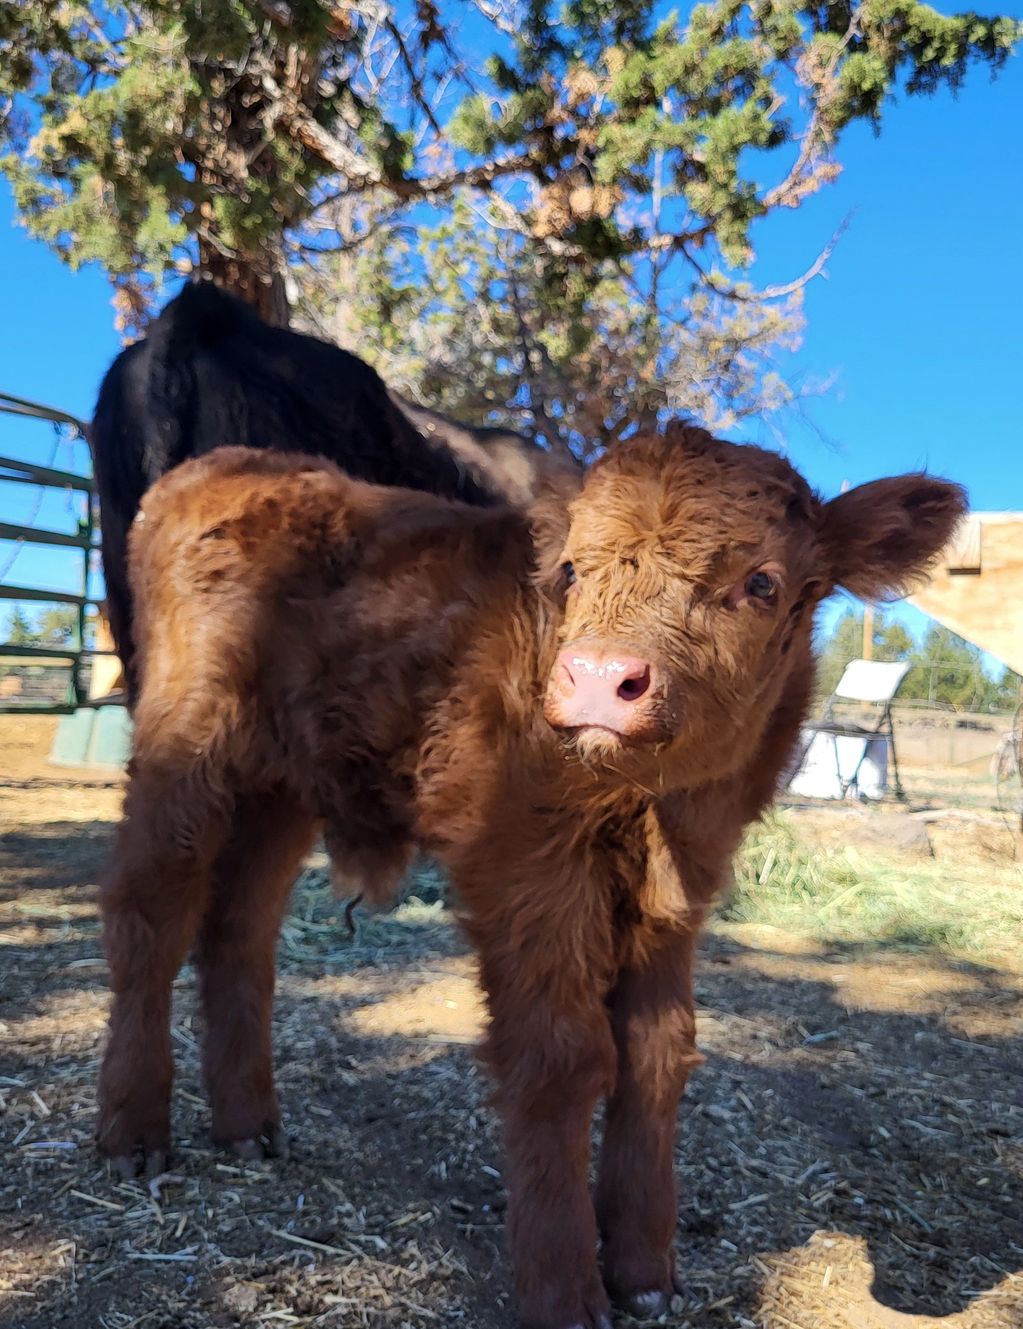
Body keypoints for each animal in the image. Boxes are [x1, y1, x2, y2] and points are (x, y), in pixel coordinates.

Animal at [96, 428, 964, 1329]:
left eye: (760, 582)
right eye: (573, 570)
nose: (598, 678)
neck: (648, 805)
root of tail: (226, 463)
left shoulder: (681, 891)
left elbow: (657, 1053)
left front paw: (644, 1269)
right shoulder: (523, 865)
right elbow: (560, 1058)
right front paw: (563, 1285)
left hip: (283, 785)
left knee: (240, 926)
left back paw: (246, 1124)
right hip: (185, 744)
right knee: (149, 914)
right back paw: (134, 1134)